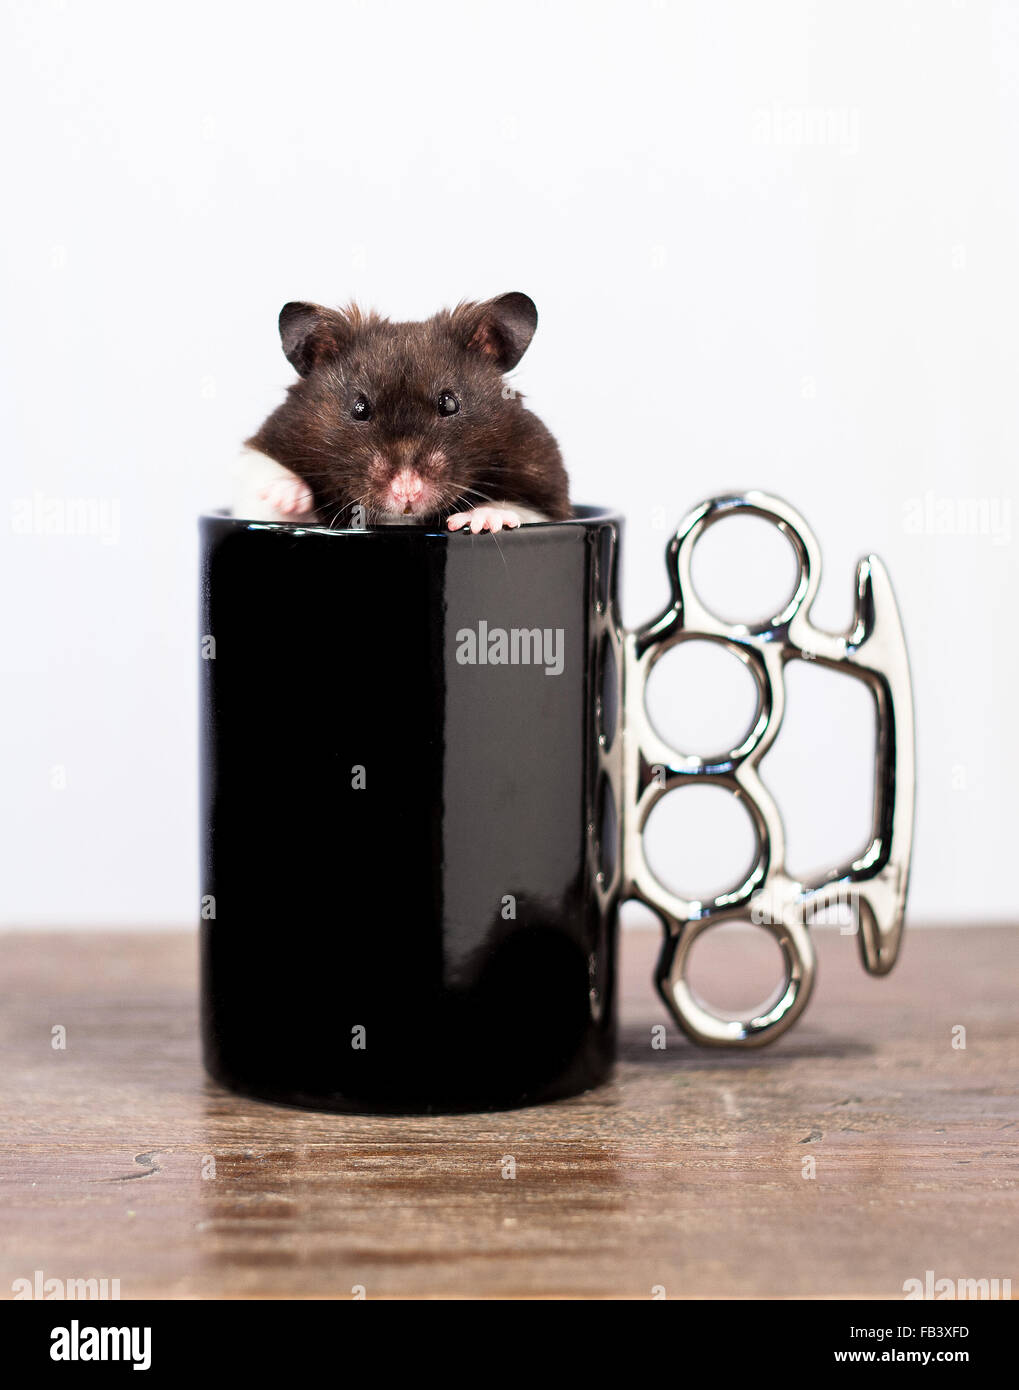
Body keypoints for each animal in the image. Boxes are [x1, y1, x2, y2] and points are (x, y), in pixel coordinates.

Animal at [234, 292, 570, 533]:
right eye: (360, 408)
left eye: (449, 403)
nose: (407, 492)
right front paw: (287, 494)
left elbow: (523, 510)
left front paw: (480, 520)